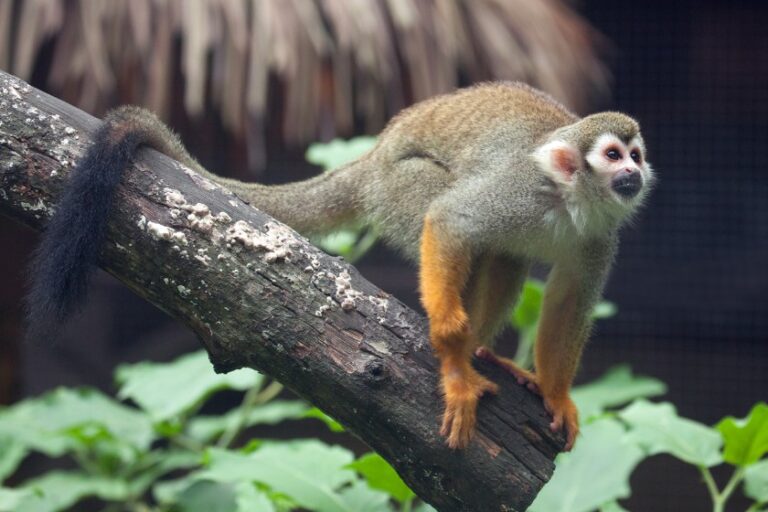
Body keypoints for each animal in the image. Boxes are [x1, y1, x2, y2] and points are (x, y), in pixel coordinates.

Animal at [26, 82, 653, 451]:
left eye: (636, 156)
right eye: (612, 156)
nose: (635, 175)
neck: (569, 203)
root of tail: (370, 156)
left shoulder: (601, 237)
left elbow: (571, 298)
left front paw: (554, 393)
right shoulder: (518, 192)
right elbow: (451, 220)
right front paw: (453, 363)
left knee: (505, 256)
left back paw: (487, 349)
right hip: (395, 189)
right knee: (452, 218)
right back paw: (468, 349)